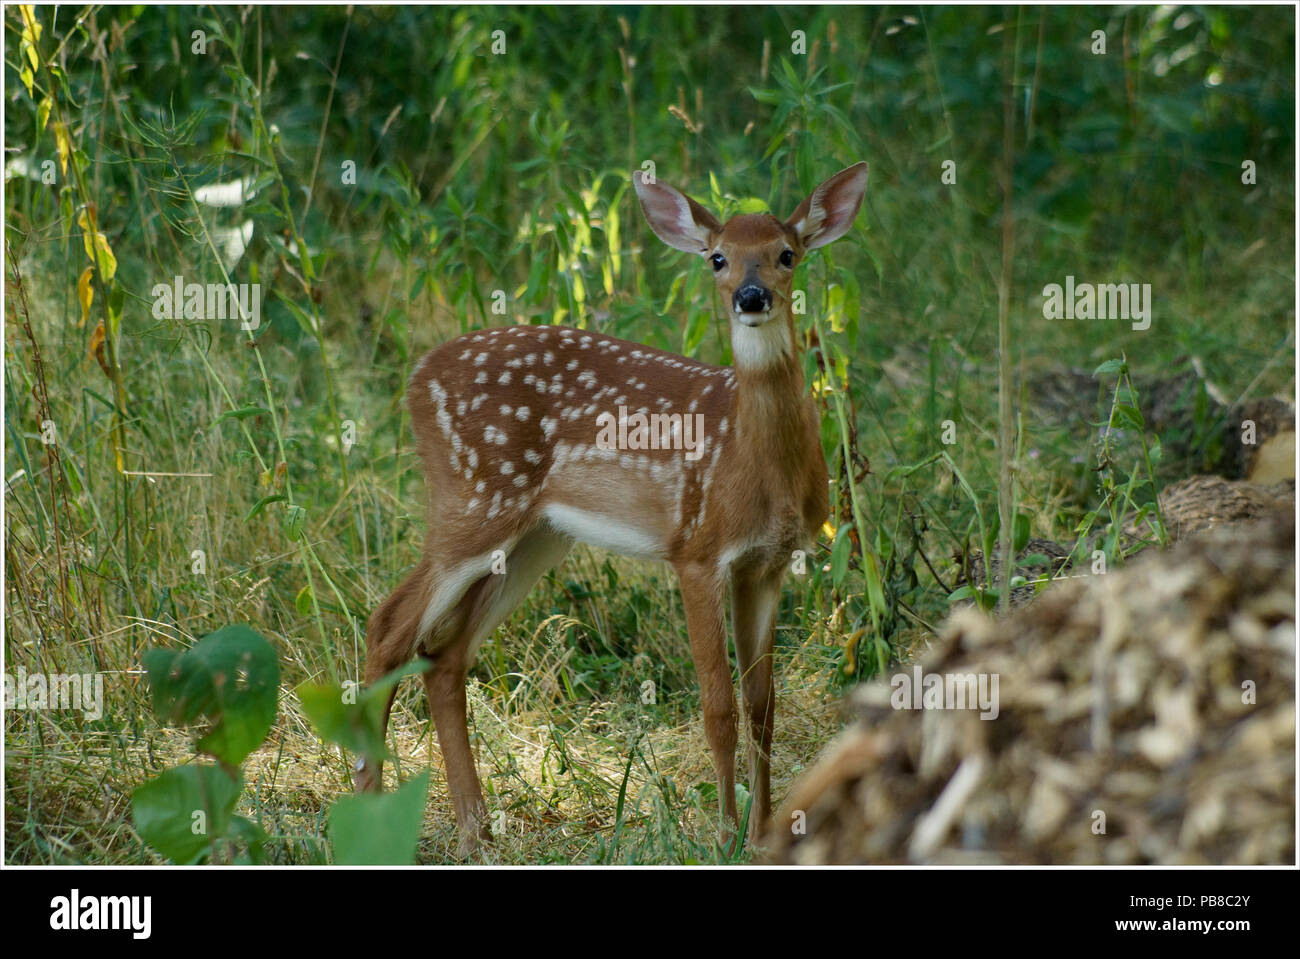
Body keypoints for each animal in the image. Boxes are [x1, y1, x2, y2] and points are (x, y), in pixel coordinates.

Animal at [356, 162, 869, 858]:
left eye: (786, 254)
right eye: (717, 257)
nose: (751, 297)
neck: (750, 456)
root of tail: (415, 377)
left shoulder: (767, 563)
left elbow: (763, 705)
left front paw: (764, 834)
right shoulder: (697, 547)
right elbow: (718, 707)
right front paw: (724, 837)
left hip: (536, 535)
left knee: (445, 652)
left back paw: (476, 831)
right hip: (474, 497)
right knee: (388, 627)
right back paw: (373, 812)